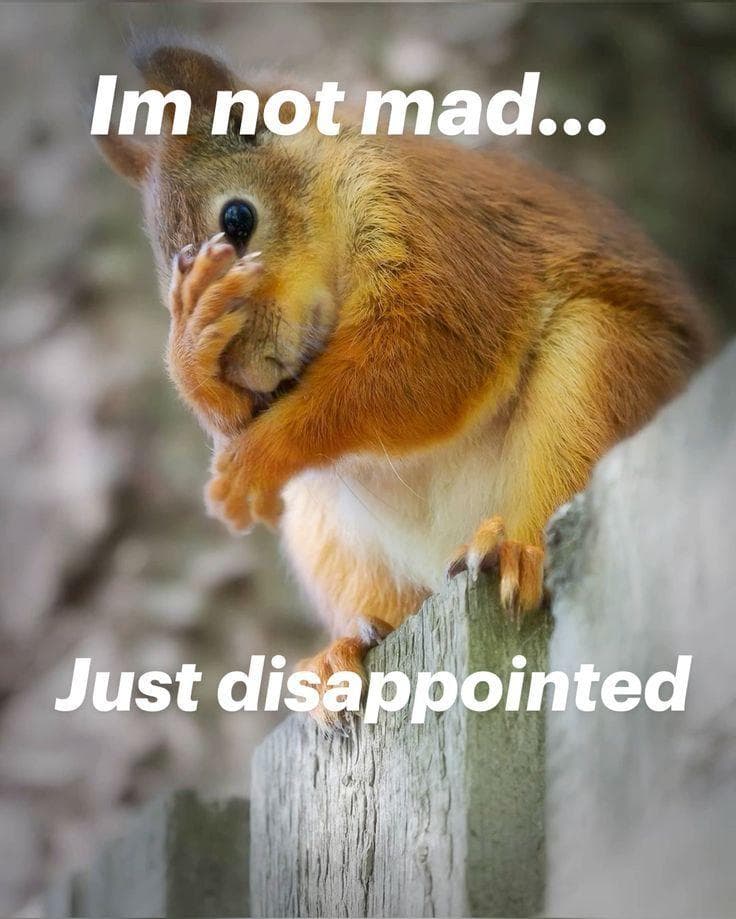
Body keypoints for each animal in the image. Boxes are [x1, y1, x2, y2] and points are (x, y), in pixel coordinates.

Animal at [98, 43, 713, 727]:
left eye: (238, 218)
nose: (249, 371)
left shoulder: (431, 230)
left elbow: (420, 367)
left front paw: (253, 457)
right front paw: (195, 354)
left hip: (601, 374)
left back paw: (516, 552)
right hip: (328, 528)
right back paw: (340, 654)